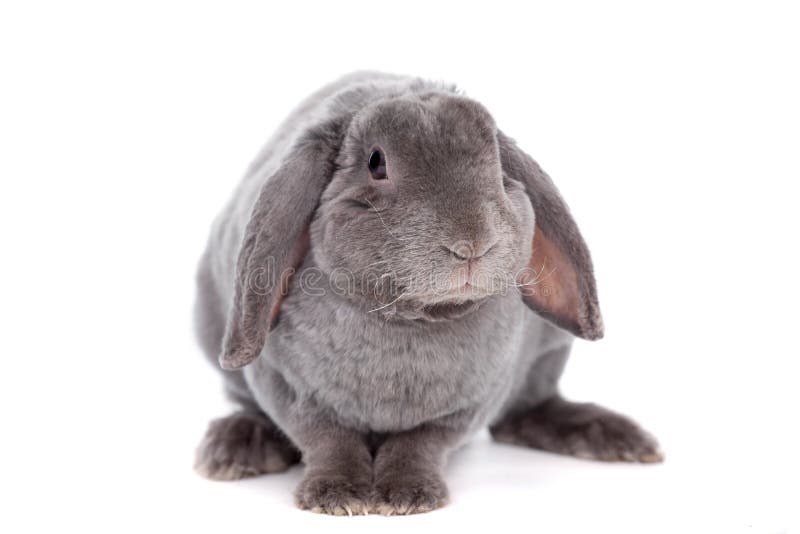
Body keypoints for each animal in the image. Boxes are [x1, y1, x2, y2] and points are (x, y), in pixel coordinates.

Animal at [193, 71, 663, 516]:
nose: (472, 245)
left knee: (528, 410)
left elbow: (420, 444)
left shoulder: (469, 405)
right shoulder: (283, 386)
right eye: (376, 163)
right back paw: (237, 449)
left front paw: (407, 494)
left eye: (498, 167)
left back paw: (612, 437)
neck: (409, 320)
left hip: (547, 354)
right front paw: (337, 495)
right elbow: (327, 439)